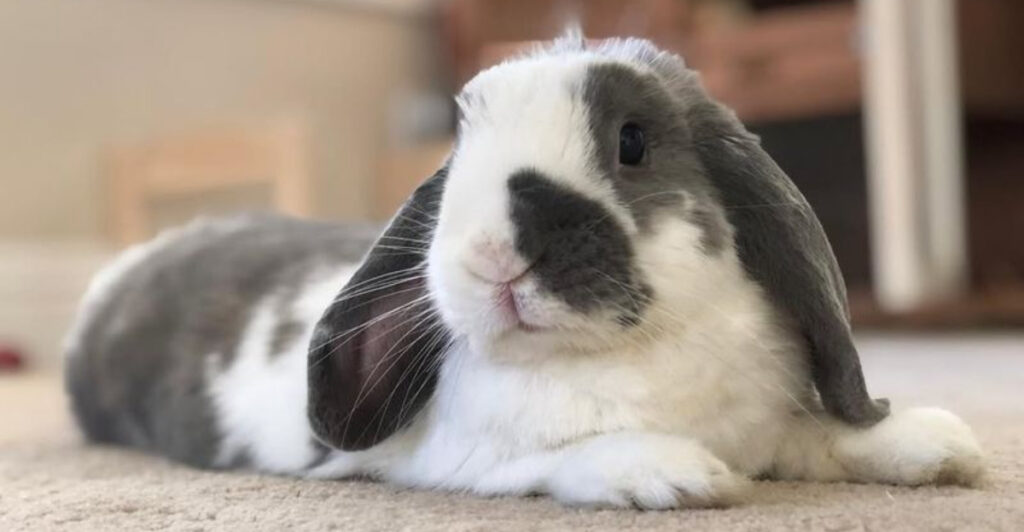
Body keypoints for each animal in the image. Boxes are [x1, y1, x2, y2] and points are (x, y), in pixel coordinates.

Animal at [65, 33, 984, 509]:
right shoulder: (463, 460)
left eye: (633, 141)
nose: (491, 256)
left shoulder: (767, 418)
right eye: (460, 149)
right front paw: (677, 474)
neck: (633, 353)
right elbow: (566, 455)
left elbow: (813, 434)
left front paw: (937, 446)